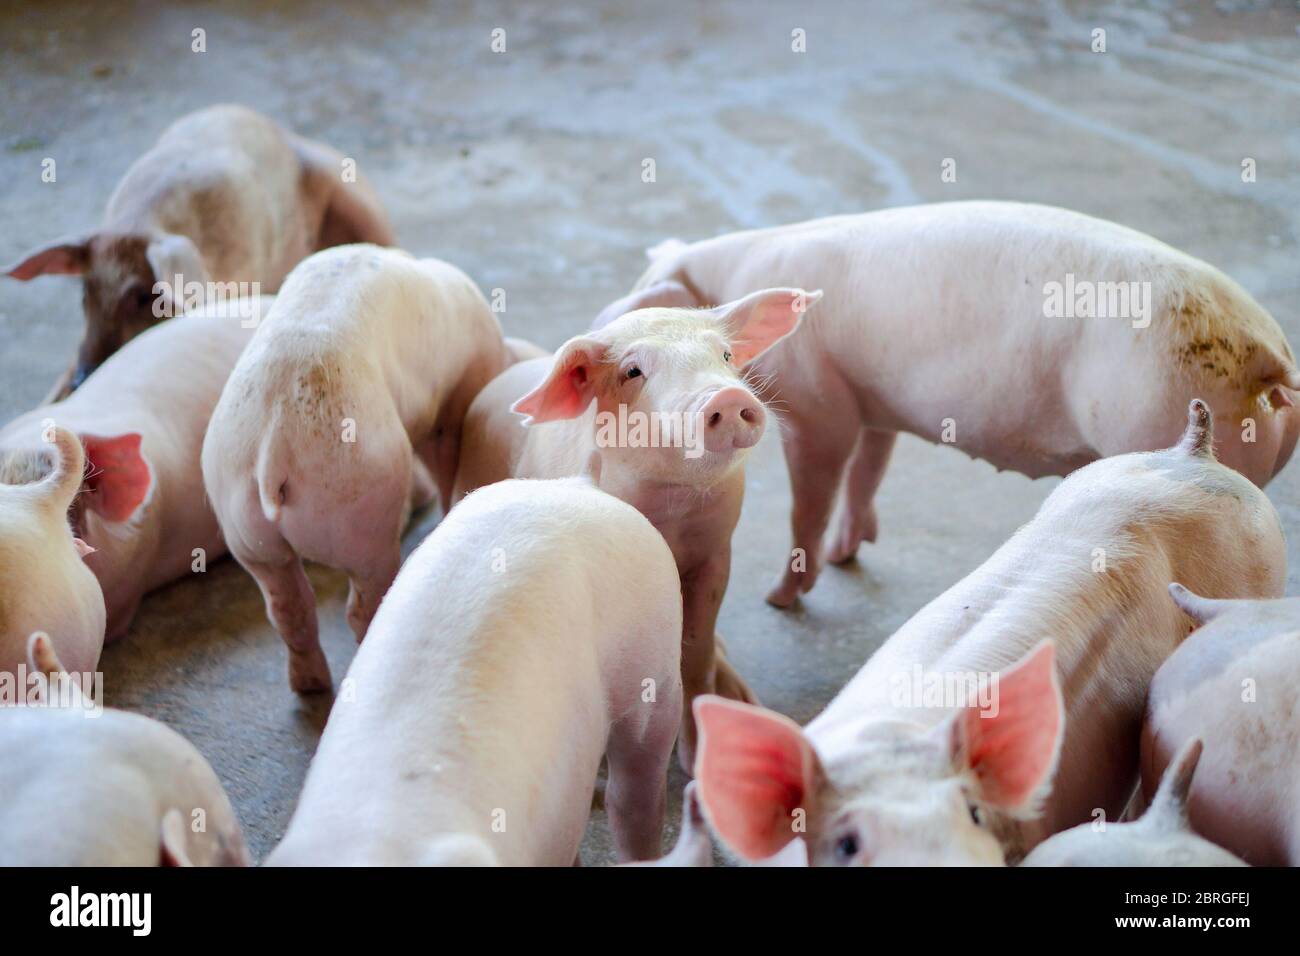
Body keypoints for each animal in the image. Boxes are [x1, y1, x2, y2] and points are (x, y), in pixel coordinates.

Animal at [203, 245, 510, 693]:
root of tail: (273, 447)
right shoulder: (450, 406)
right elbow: (445, 455)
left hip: (241, 521)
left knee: (288, 608)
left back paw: (310, 684)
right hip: (363, 505)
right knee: (362, 603)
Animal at [453, 287, 821, 768]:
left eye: (724, 354)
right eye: (633, 371)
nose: (723, 397)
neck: (673, 509)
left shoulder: (717, 553)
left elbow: (696, 649)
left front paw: (693, 758)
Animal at [596, 202, 1300, 607]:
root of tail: (1270, 354)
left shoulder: (821, 404)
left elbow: (811, 497)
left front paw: (779, 598)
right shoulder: (870, 400)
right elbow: (869, 469)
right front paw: (848, 554)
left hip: (1158, 409)